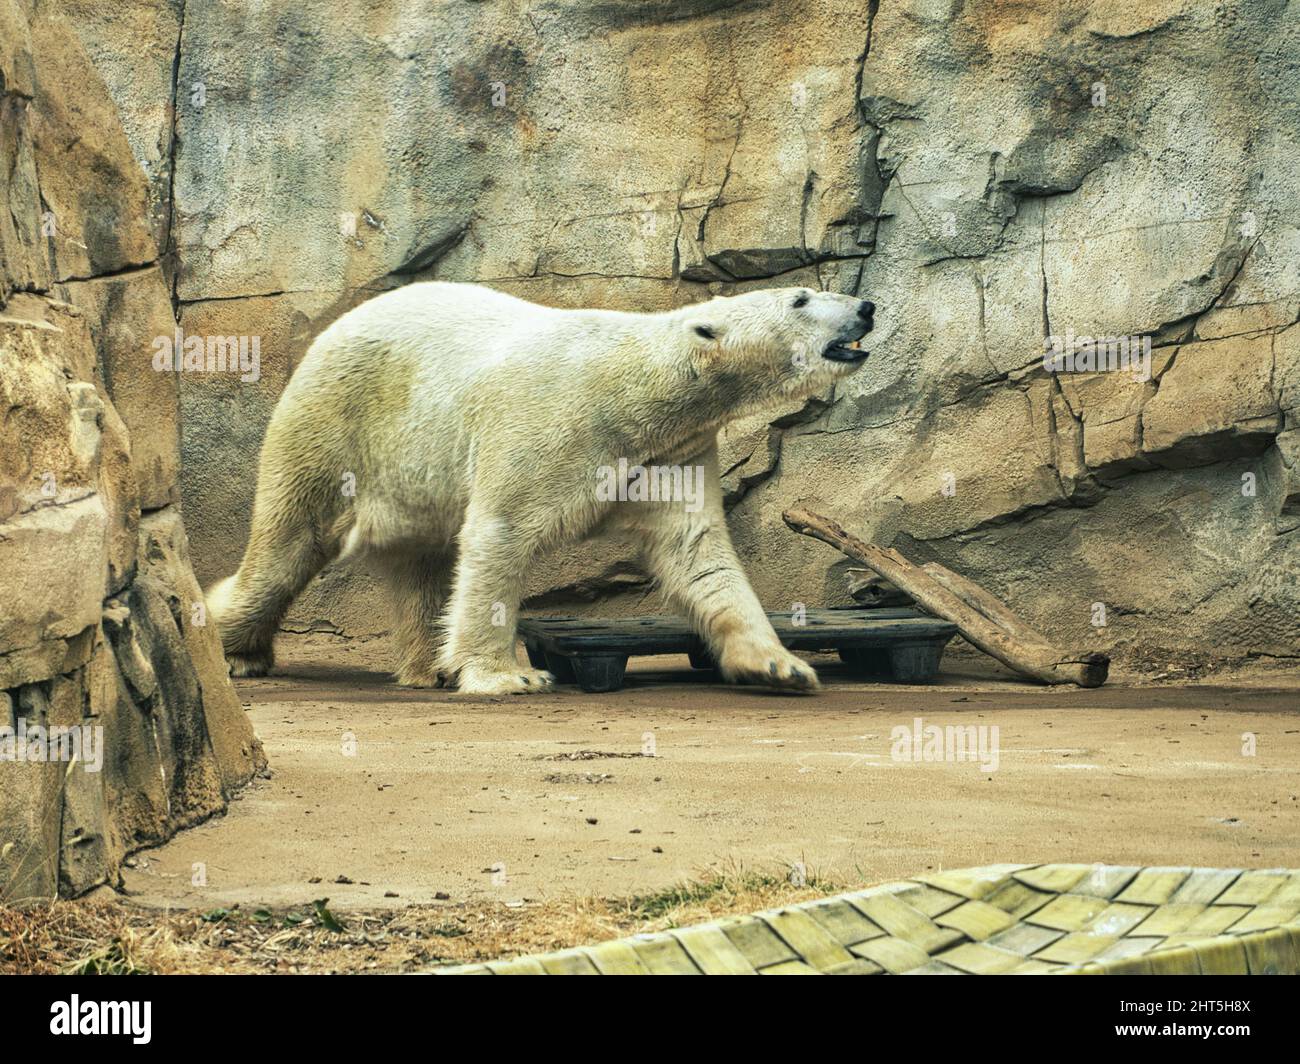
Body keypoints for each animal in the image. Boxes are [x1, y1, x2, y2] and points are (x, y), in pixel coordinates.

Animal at [206, 282, 875, 695]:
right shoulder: (549, 422)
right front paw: (509, 676)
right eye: (801, 298)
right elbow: (500, 534)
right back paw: (231, 647)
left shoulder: (672, 451)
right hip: (336, 425)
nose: (867, 306)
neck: (635, 387)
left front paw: (781, 666)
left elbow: (699, 553)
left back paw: (430, 667)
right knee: (287, 546)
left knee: (420, 562)